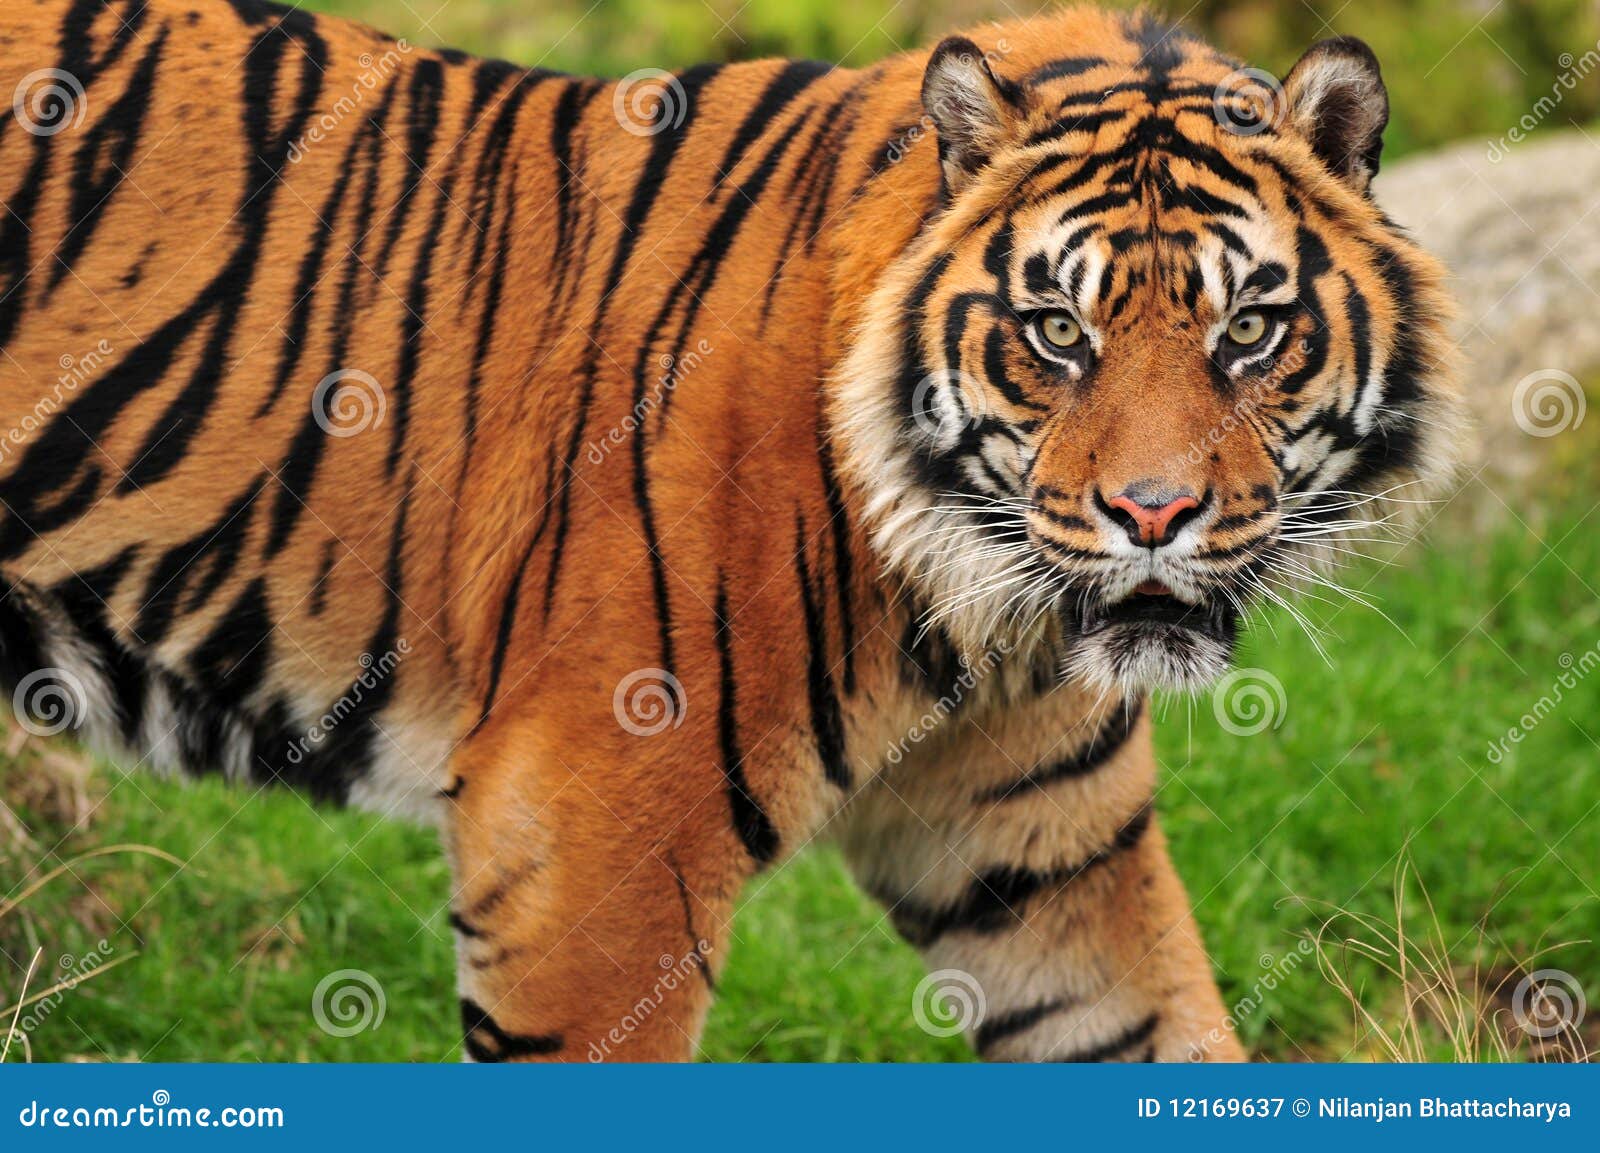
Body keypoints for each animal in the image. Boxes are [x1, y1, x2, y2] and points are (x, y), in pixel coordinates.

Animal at [0, 0, 1463, 1062]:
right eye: (1058, 332)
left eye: (1249, 330)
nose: (1152, 514)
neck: (987, 614)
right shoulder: (589, 845)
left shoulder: (1046, 858)